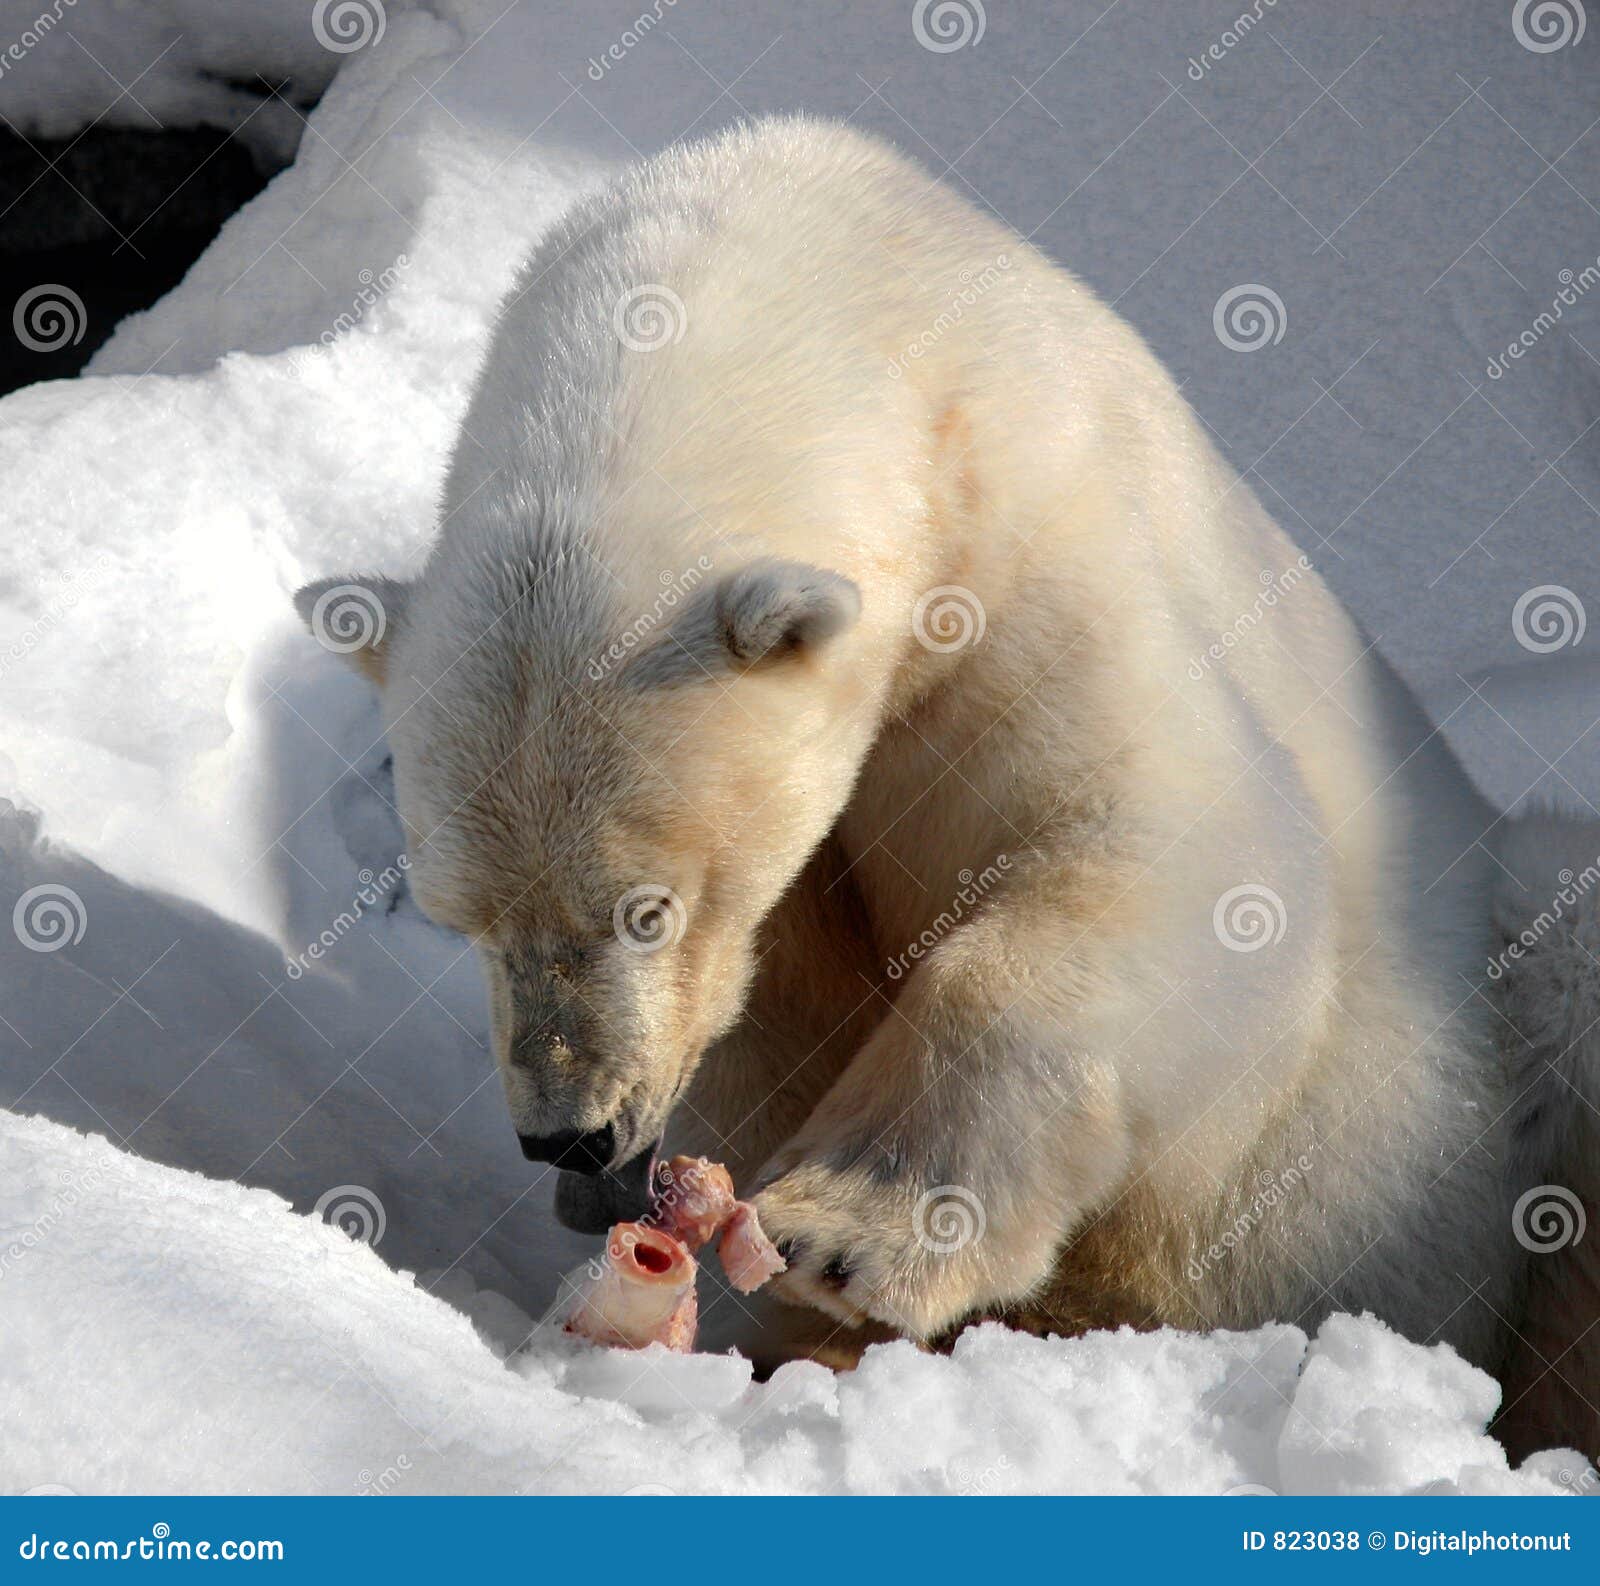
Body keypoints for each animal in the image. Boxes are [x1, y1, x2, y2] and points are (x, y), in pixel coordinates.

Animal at [297, 116, 1597, 1458]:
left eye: (646, 905)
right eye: (464, 920)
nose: (571, 1128)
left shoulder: (1031, 552)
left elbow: (1185, 856)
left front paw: (840, 1231)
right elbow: (773, 1003)